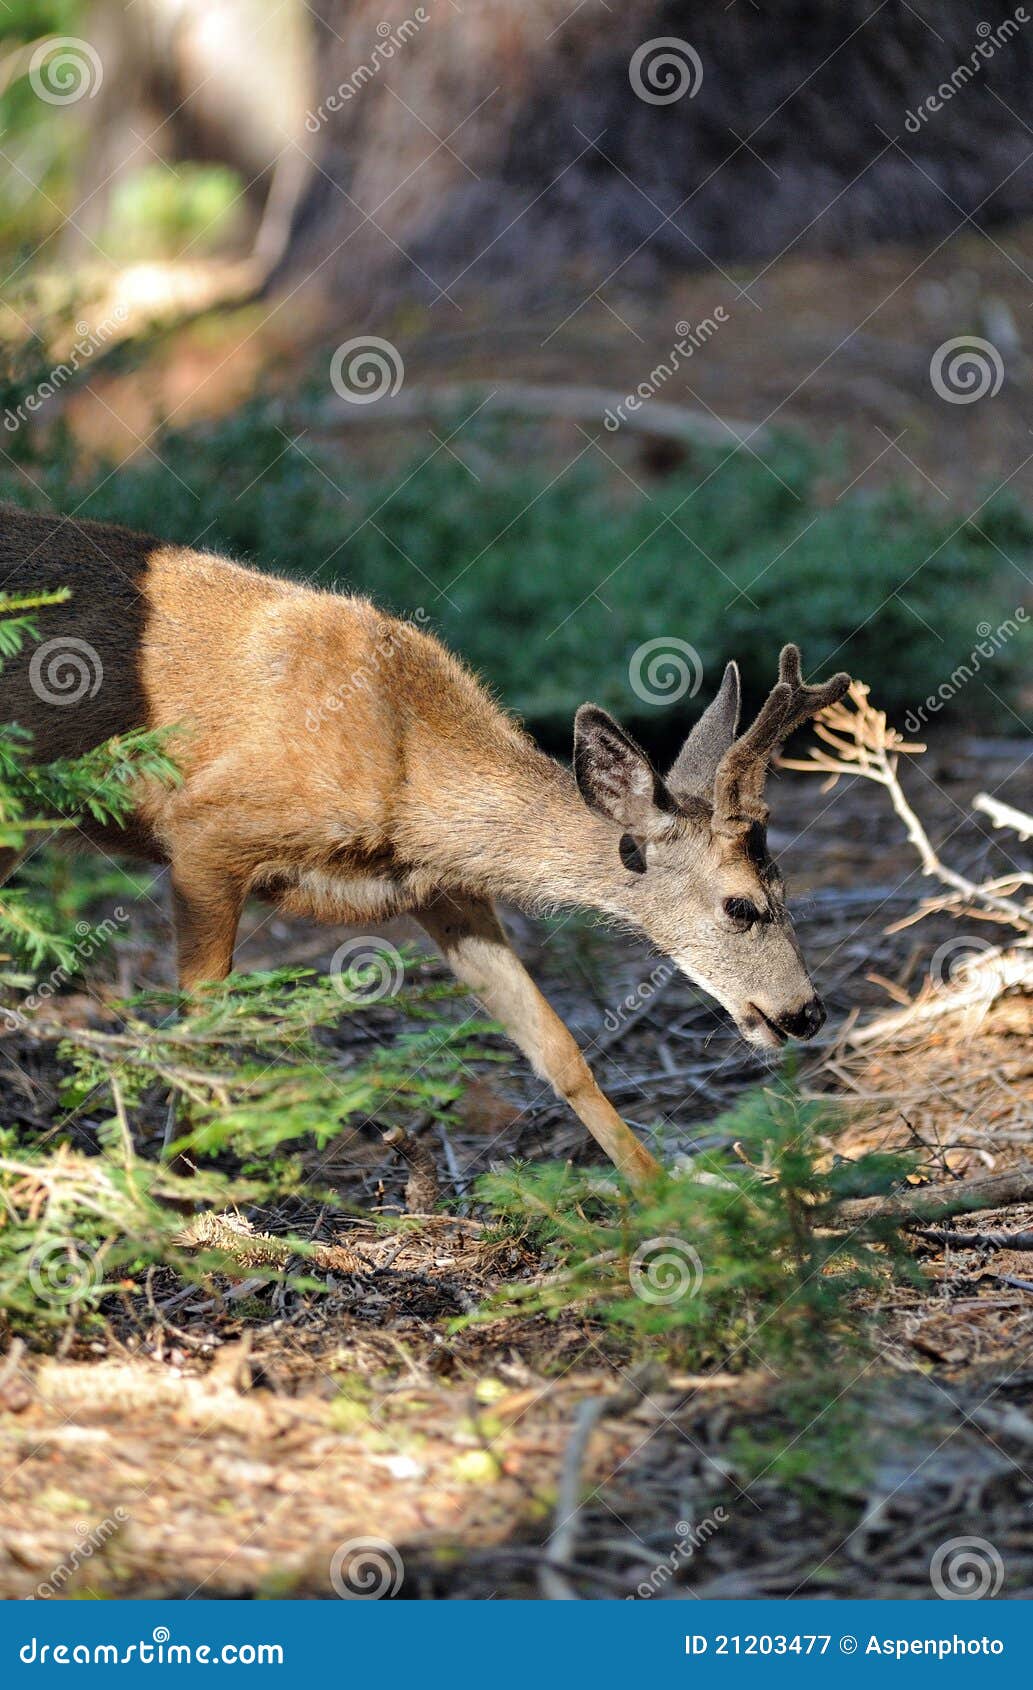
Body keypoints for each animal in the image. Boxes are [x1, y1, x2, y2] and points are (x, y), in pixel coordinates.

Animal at [0, 506, 849, 1190]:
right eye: (741, 905)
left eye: (786, 888)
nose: (805, 1013)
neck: (407, 771)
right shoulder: (204, 836)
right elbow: (201, 1032)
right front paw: (187, 1199)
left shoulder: (444, 889)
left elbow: (556, 1048)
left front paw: (656, 1193)